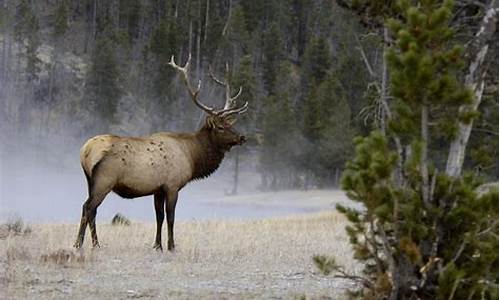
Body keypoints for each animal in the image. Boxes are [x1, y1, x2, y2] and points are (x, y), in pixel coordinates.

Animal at [73, 54, 246, 251]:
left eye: (230, 124)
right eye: (220, 127)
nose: (242, 137)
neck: (192, 157)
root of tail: (85, 151)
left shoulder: (158, 189)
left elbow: (159, 217)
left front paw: (157, 245)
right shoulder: (172, 185)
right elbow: (170, 217)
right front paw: (171, 246)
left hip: (90, 181)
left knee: (90, 209)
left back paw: (94, 244)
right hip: (104, 180)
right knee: (88, 207)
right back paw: (80, 244)